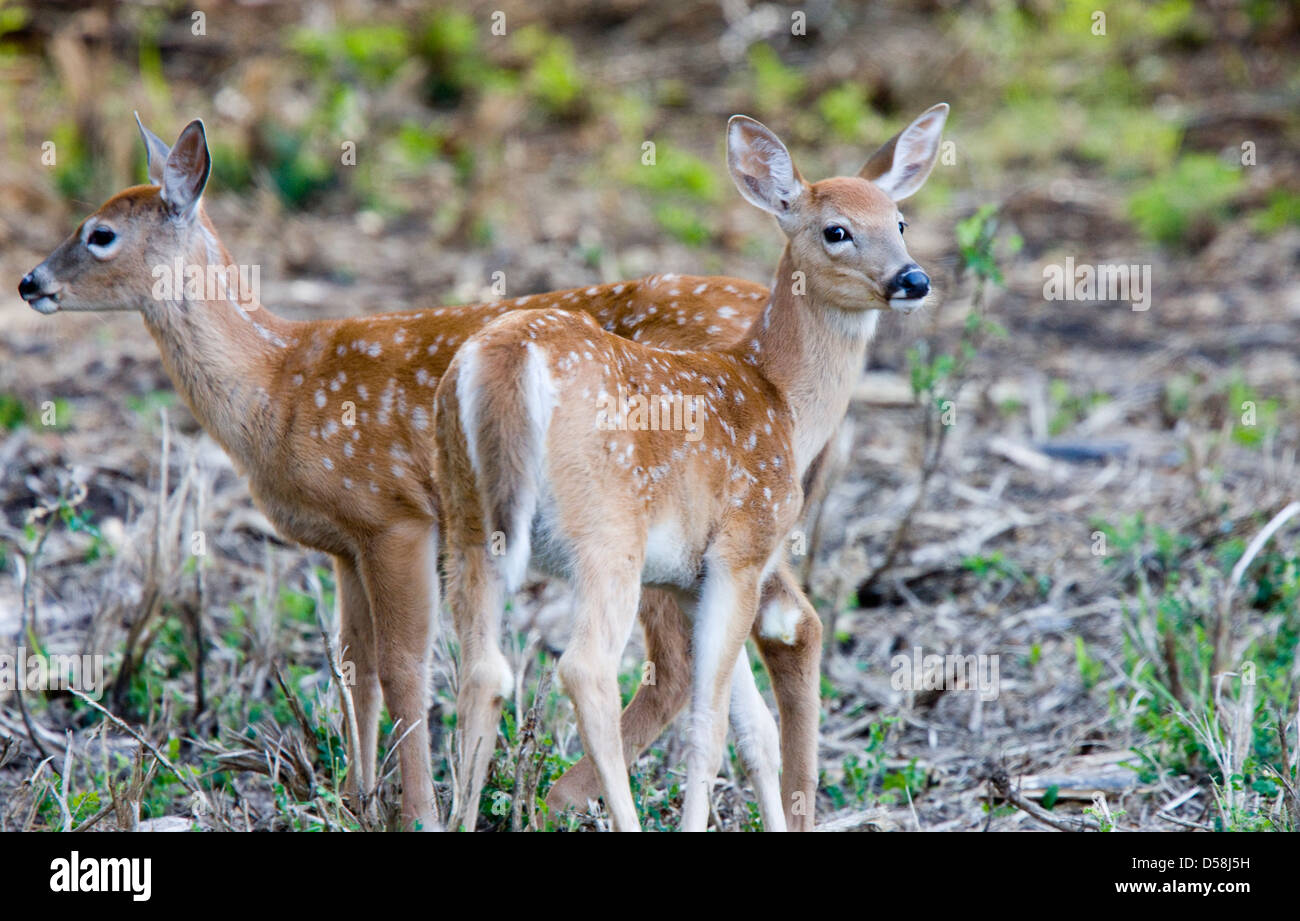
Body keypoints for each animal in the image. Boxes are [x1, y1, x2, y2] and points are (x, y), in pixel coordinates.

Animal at [17, 114, 829, 831]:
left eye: (99, 233)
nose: (28, 283)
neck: (276, 383)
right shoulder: (343, 544)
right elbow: (353, 663)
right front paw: (357, 800)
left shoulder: (393, 515)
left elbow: (405, 666)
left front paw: (420, 812)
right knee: (784, 626)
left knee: (697, 654)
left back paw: (556, 801)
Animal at [436, 103, 948, 831]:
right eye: (837, 230)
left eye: (899, 221)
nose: (913, 279)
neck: (781, 399)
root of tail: (511, 355)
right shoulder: (742, 546)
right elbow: (710, 730)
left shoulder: (689, 575)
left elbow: (752, 727)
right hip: (606, 531)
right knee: (585, 669)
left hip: (466, 519)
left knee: (481, 670)